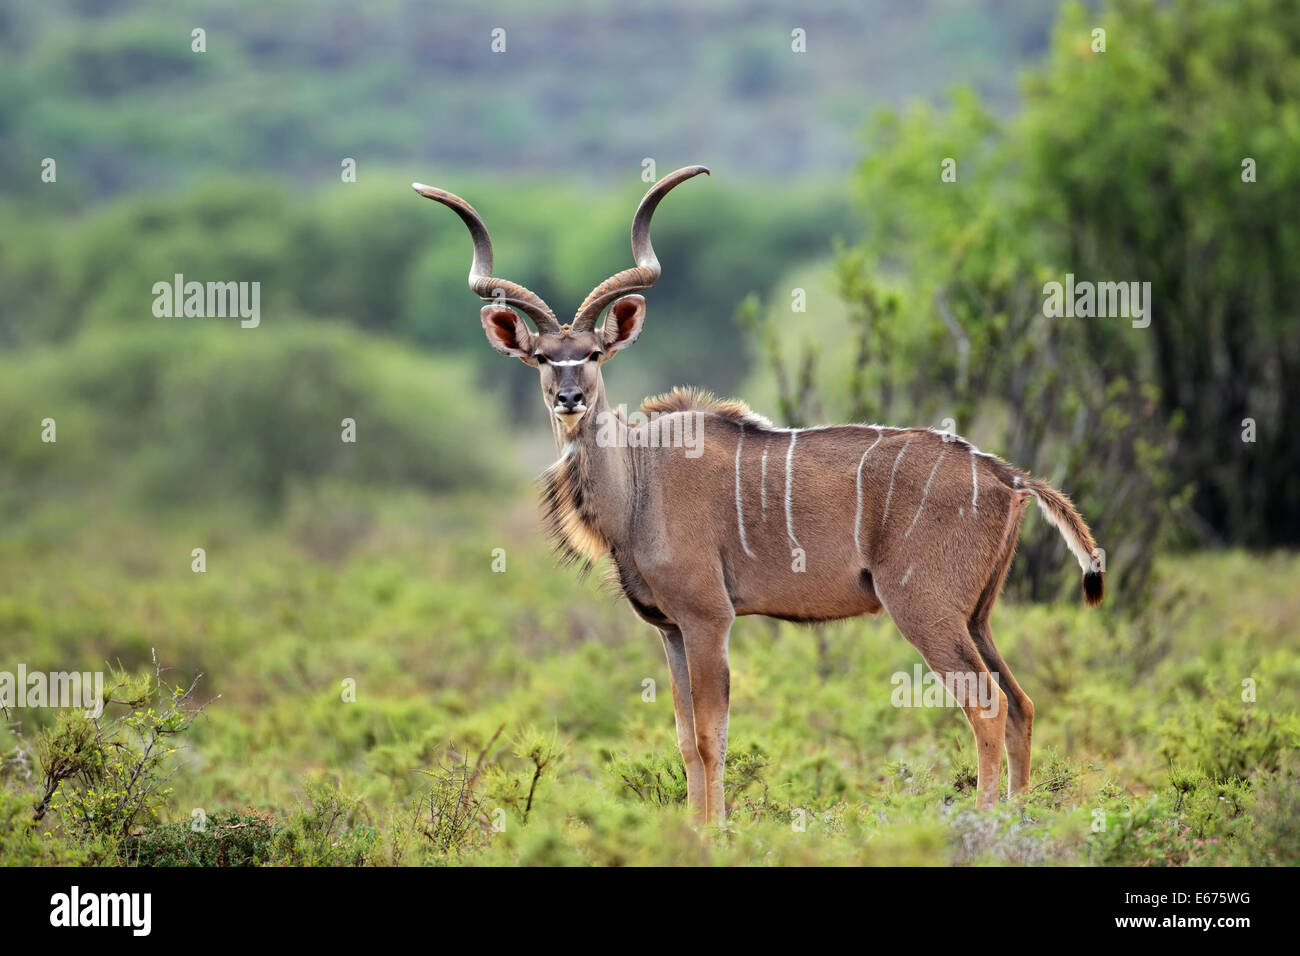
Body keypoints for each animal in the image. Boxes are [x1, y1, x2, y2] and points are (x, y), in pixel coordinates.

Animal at [413, 166, 1105, 824]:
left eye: (593, 353)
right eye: (540, 357)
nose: (569, 398)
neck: (638, 482)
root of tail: (1009, 478)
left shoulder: (708, 618)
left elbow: (710, 736)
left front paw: (714, 834)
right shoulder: (669, 629)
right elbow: (685, 740)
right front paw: (694, 830)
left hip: (926, 610)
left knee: (987, 706)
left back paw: (987, 823)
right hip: (977, 616)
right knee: (1021, 703)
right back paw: (1019, 818)